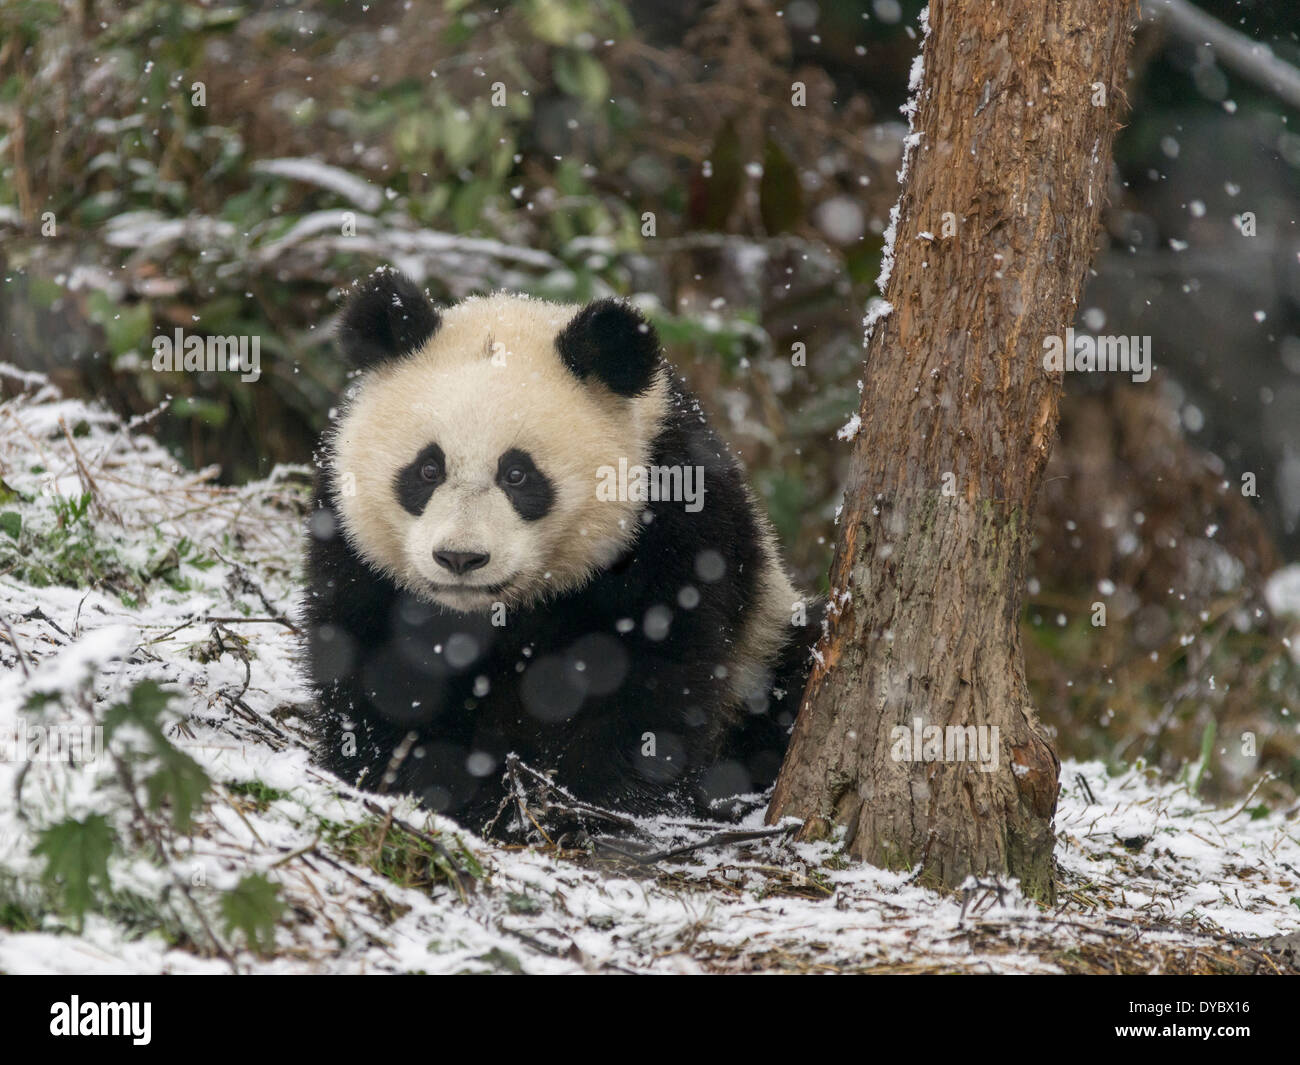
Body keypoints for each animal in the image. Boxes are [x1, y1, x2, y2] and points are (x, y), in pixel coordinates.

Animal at [302, 268, 820, 830]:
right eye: (427, 469)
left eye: (518, 474)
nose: (461, 558)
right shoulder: (356, 551)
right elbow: (377, 669)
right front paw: (428, 787)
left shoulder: (673, 528)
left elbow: (649, 682)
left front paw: (583, 808)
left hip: (765, 646)